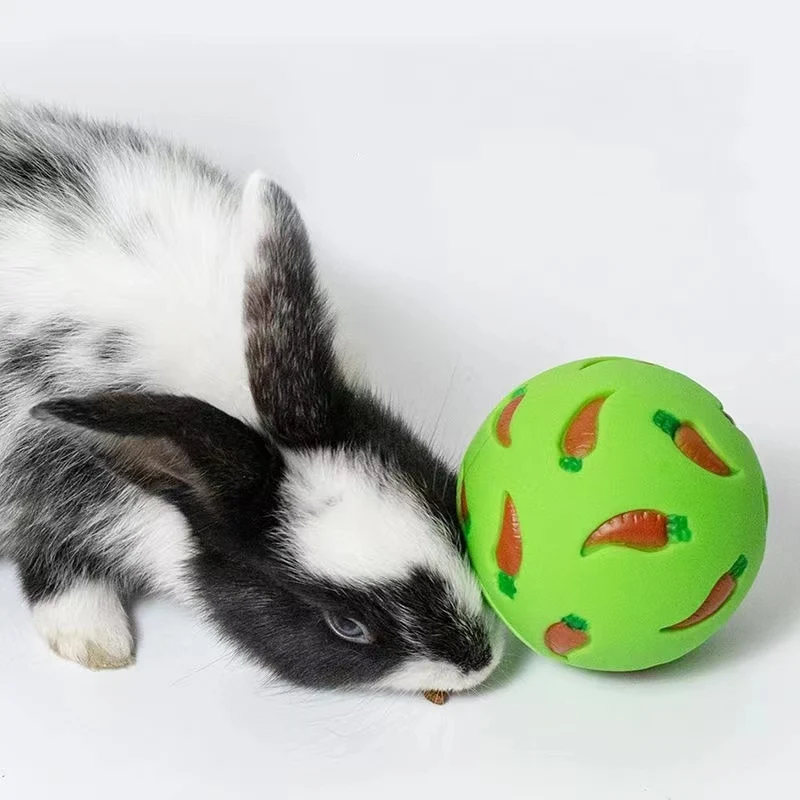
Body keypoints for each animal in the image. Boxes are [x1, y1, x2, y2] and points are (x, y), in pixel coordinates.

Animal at [0, 101, 505, 693]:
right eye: (347, 625)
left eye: (446, 503)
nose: (481, 662)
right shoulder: (41, 494)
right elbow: (56, 564)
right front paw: (97, 643)